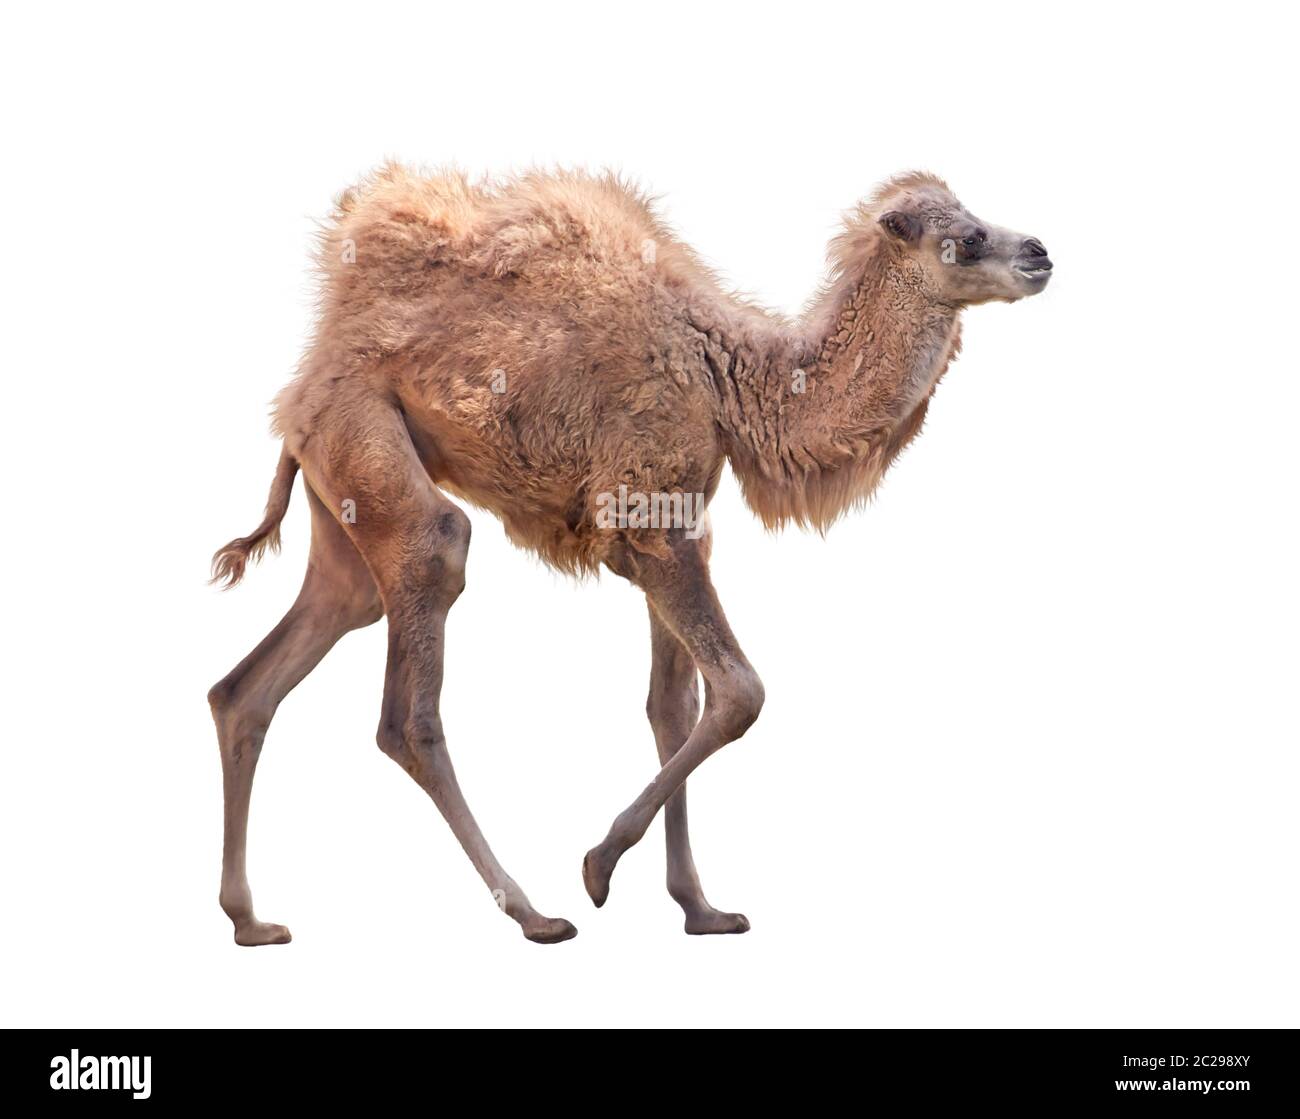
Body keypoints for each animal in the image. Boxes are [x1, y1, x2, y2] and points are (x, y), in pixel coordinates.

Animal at [209, 165, 1052, 945]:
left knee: (253, 682)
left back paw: (250, 919)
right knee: (411, 689)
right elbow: (740, 691)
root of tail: (303, 390)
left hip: (345, 501)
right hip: (376, 455)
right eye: (965, 237)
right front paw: (599, 864)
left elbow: (671, 708)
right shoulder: (649, 526)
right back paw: (533, 913)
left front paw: (700, 908)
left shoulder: (680, 530)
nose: (1040, 253)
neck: (730, 382)